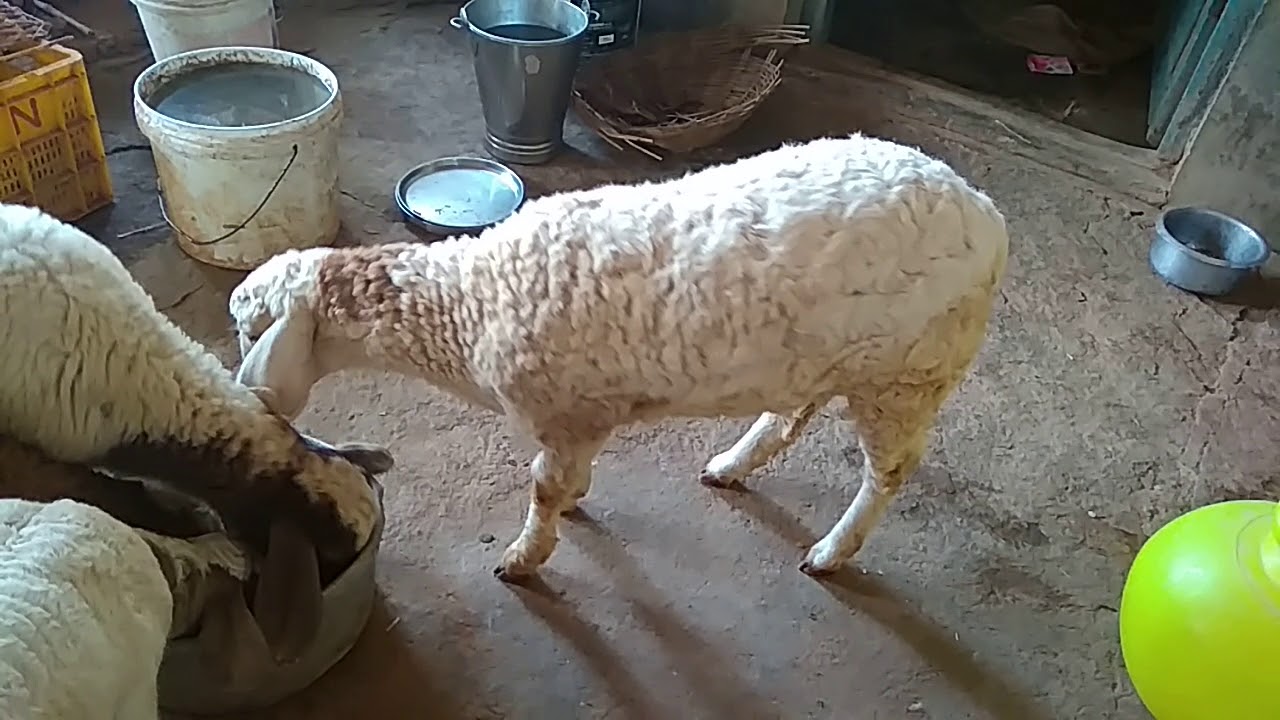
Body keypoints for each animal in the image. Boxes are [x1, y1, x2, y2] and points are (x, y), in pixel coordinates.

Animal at [228, 134, 1010, 582]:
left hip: (908, 373)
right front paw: (573, 507)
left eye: (247, 331)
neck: (470, 299)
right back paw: (732, 464)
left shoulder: (566, 412)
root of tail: (984, 209)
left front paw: (525, 557)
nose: (244, 388)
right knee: (790, 417)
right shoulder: (587, 414)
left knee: (888, 472)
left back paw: (832, 550)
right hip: (828, 357)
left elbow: (542, 488)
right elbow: (565, 480)